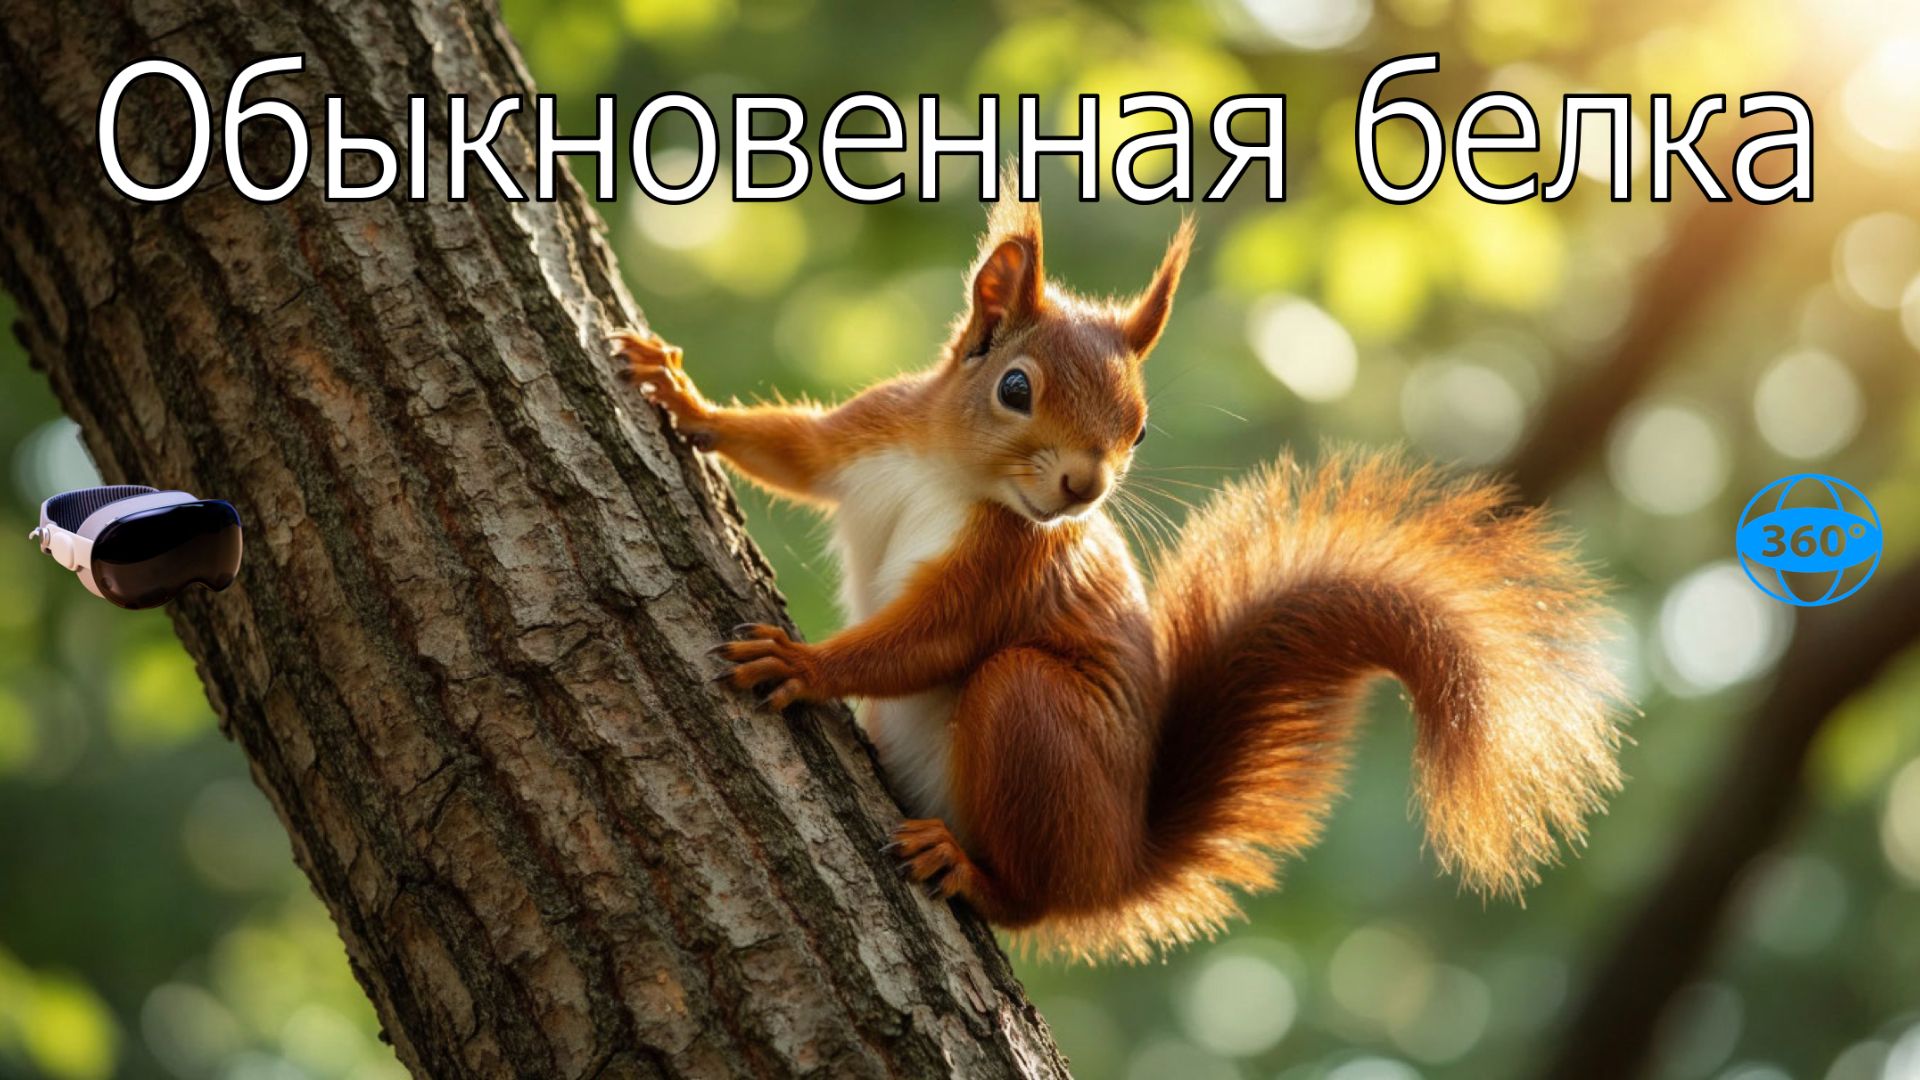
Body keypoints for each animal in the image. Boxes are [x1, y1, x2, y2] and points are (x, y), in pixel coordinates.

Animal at [611, 192, 1626, 962]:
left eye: (1139, 428)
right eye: (1014, 387)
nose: (1083, 488)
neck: (953, 474)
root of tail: (1115, 867)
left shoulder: (1007, 569)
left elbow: (929, 638)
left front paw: (805, 665)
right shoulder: (873, 430)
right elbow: (792, 452)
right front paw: (679, 394)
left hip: (1034, 723)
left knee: (1028, 889)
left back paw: (969, 871)